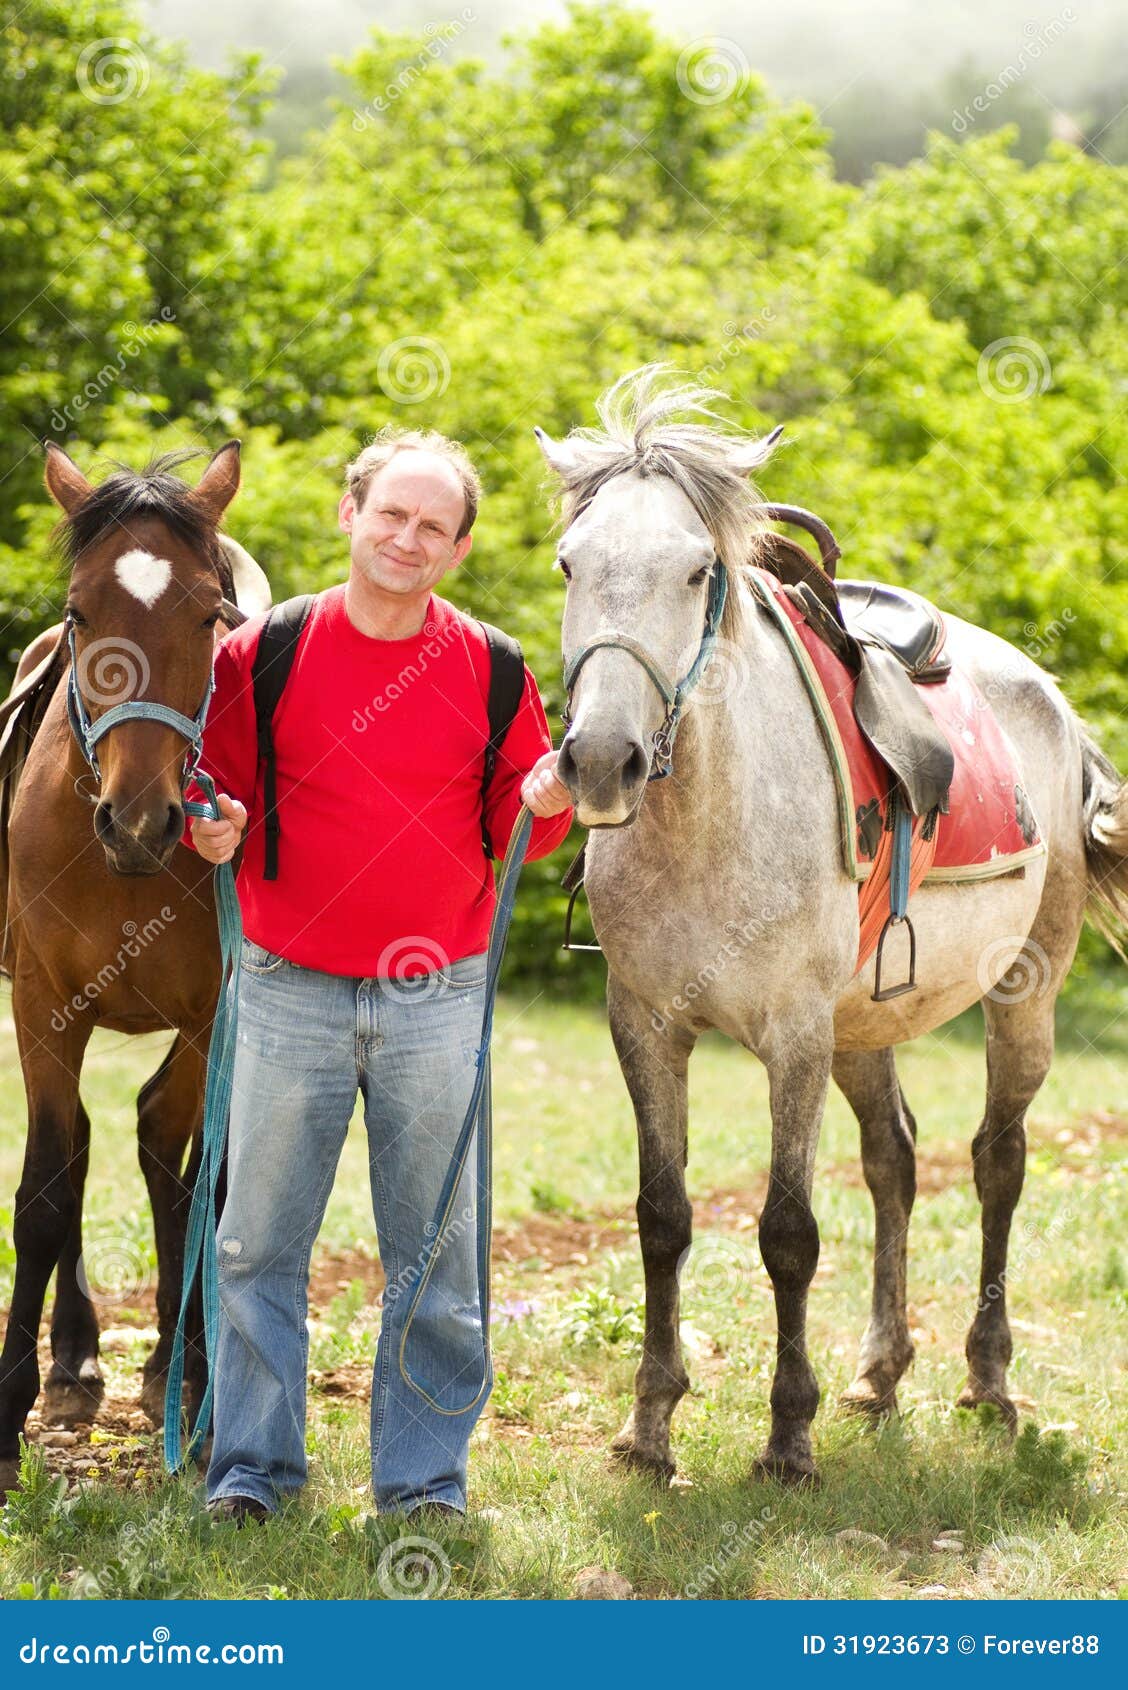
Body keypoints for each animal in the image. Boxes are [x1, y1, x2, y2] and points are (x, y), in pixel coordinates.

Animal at [0, 442, 270, 1498]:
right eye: (81, 614)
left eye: (209, 614)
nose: (143, 820)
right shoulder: (43, 1006)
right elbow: (44, 1190)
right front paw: (10, 1414)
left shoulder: (211, 1019)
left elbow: (190, 1176)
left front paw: (196, 1386)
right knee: (72, 1150)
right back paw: (75, 1362)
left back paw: (168, 1366)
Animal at [535, 367, 1128, 1485]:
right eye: (570, 564)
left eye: (695, 572)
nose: (598, 761)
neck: (706, 822)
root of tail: (1056, 704)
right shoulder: (646, 1025)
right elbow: (661, 1219)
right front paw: (649, 1427)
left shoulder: (795, 1036)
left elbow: (788, 1234)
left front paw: (787, 1436)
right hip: (866, 1025)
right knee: (895, 1159)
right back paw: (879, 1375)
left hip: (1021, 995)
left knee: (998, 1162)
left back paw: (988, 1382)